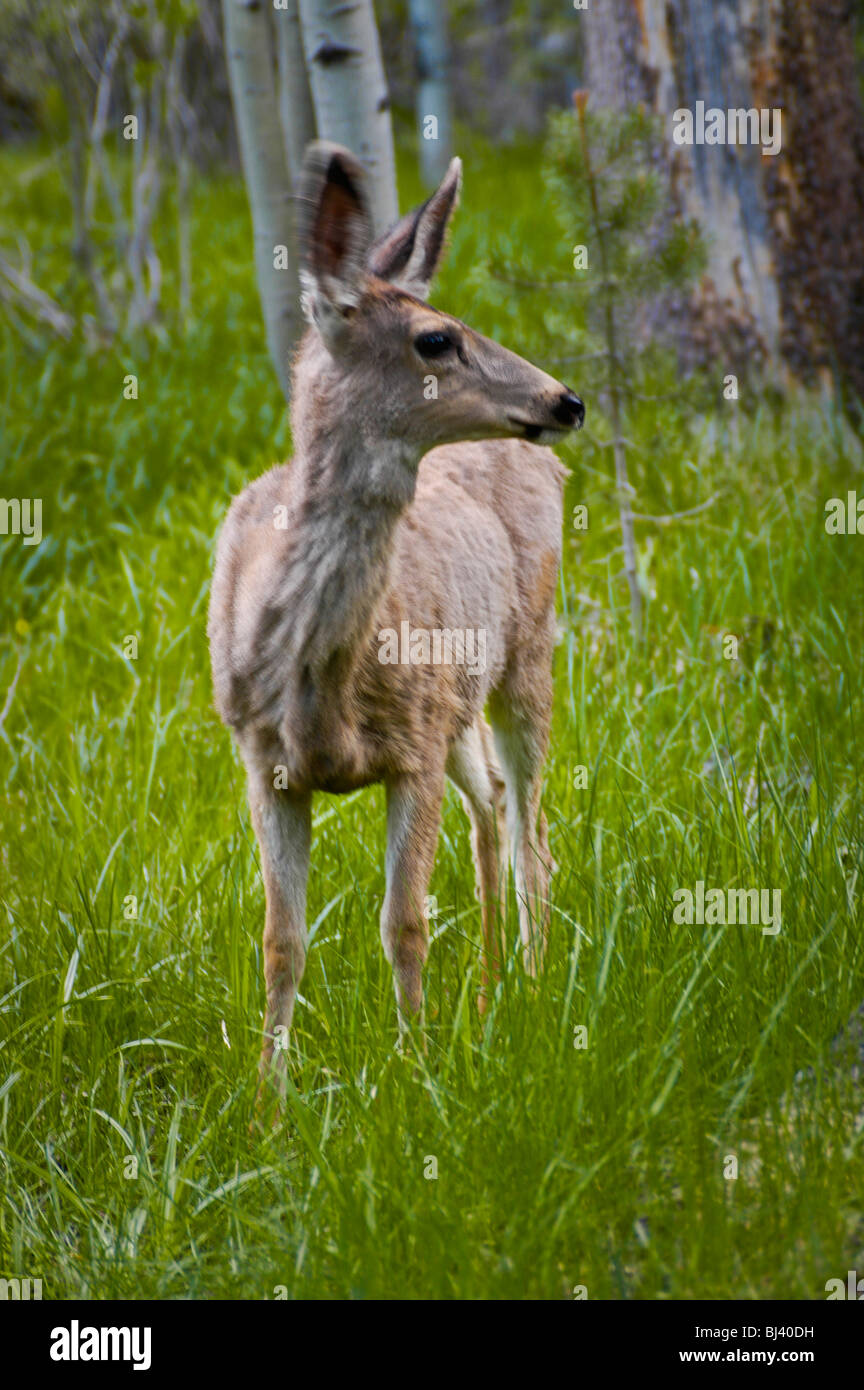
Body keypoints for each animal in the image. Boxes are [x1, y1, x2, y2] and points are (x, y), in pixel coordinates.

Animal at [207, 143, 584, 1095]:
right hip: (458, 706)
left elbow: (402, 924)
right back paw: (488, 994)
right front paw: (267, 1104)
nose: (566, 400)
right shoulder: (262, 761)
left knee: (532, 834)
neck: (318, 675)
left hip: (527, 653)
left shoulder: (409, 752)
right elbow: (280, 942)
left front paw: (418, 1080)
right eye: (436, 338)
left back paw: (532, 988)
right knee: (493, 804)